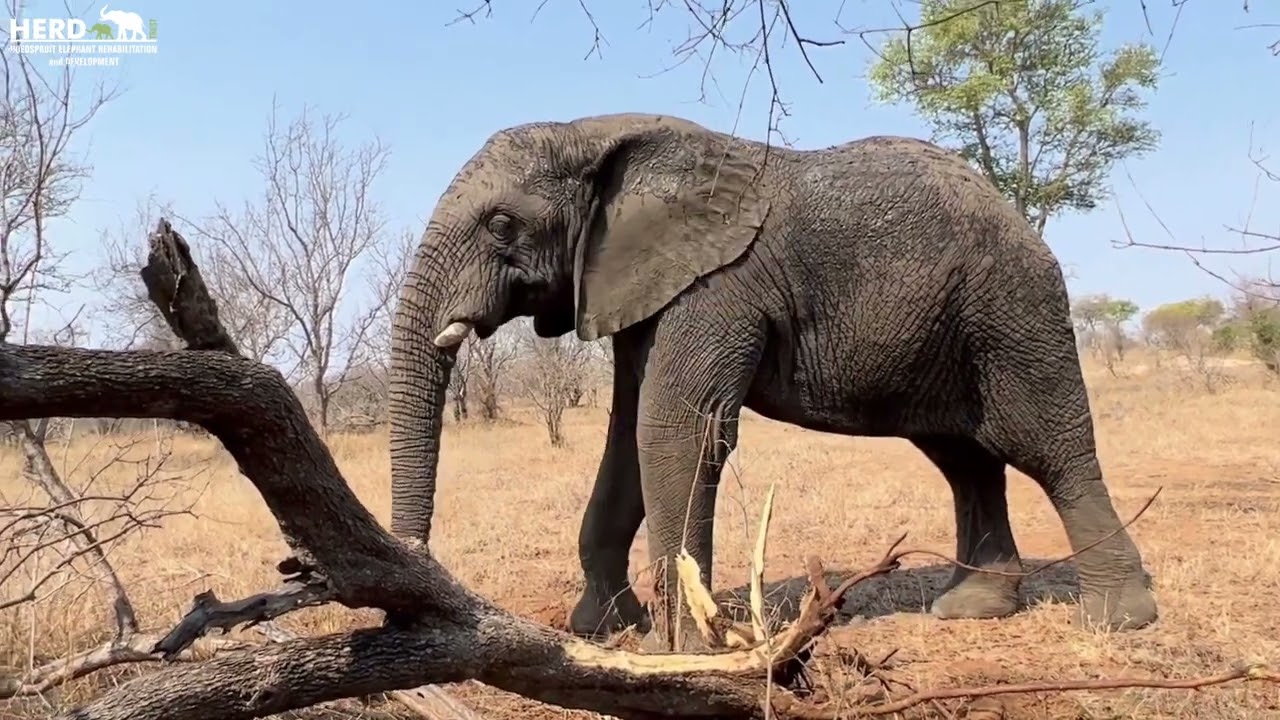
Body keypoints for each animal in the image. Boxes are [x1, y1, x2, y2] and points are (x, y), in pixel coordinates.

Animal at [386, 112, 1158, 651]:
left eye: (501, 224)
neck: (597, 132)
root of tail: (1015, 212)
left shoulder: (716, 287)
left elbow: (675, 433)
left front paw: (673, 650)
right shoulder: (642, 287)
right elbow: (628, 440)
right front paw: (601, 628)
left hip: (1011, 307)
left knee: (1046, 448)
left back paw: (1118, 621)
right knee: (966, 461)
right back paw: (970, 610)